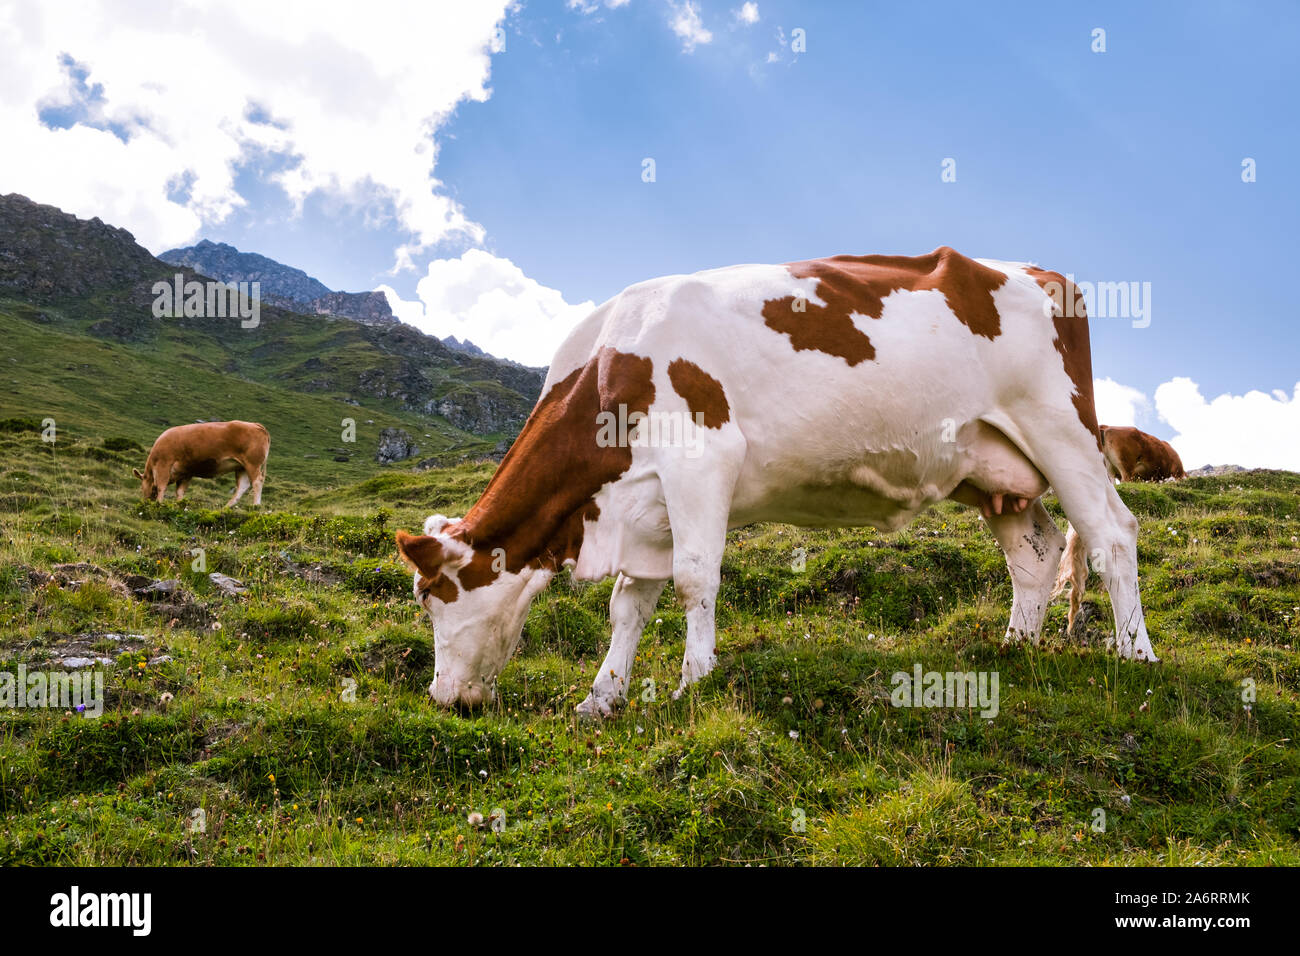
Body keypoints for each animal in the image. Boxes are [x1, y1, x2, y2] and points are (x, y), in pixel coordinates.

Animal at [133, 420, 269, 506]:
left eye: (142, 487)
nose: (146, 502)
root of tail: (256, 425)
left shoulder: (164, 464)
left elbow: (161, 487)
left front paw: (159, 504)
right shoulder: (186, 472)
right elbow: (180, 492)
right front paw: (179, 505)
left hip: (252, 463)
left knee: (257, 482)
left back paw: (256, 506)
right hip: (242, 467)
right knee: (242, 487)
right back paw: (224, 509)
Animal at [396, 246, 1157, 714]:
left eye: (431, 598)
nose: (443, 698)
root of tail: (1035, 271)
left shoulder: (702, 461)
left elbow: (694, 581)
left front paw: (693, 684)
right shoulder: (645, 503)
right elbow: (629, 605)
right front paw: (602, 697)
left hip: (1061, 430)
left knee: (1112, 533)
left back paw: (1135, 655)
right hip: (994, 469)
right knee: (1035, 553)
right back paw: (1014, 648)